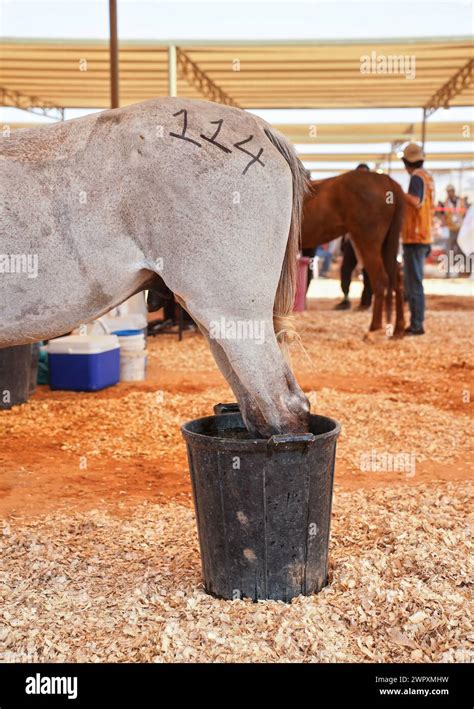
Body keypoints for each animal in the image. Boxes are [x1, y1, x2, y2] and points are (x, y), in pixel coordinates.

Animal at [302, 171, 406, 337]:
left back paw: (374, 327)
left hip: (368, 242)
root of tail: (388, 181)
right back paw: (398, 329)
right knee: (396, 280)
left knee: (380, 279)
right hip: (388, 244)